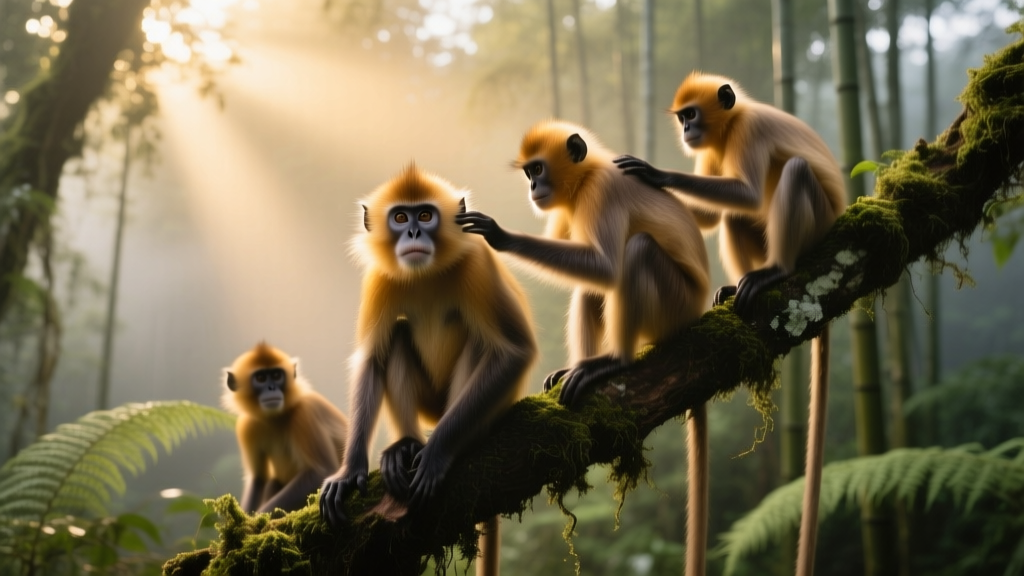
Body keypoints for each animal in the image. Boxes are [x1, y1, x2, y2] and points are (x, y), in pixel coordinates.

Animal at [222, 342, 348, 514]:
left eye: (276, 375)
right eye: (261, 378)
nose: (271, 387)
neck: (275, 419)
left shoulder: (304, 412)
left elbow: (320, 472)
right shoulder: (247, 425)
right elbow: (258, 479)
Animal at [319, 165, 537, 576]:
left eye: (425, 215)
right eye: (401, 218)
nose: (414, 234)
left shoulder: (477, 261)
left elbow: (515, 352)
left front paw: (437, 454)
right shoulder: (379, 278)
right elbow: (372, 358)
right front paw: (349, 470)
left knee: (481, 341)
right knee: (398, 336)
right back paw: (405, 447)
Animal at [614, 72, 847, 576]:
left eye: (690, 115)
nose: (686, 131)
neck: (730, 124)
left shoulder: (750, 132)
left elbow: (746, 191)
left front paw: (655, 174)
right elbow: (711, 214)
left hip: (818, 223)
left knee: (792, 173)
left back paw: (778, 269)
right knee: (735, 217)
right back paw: (736, 286)